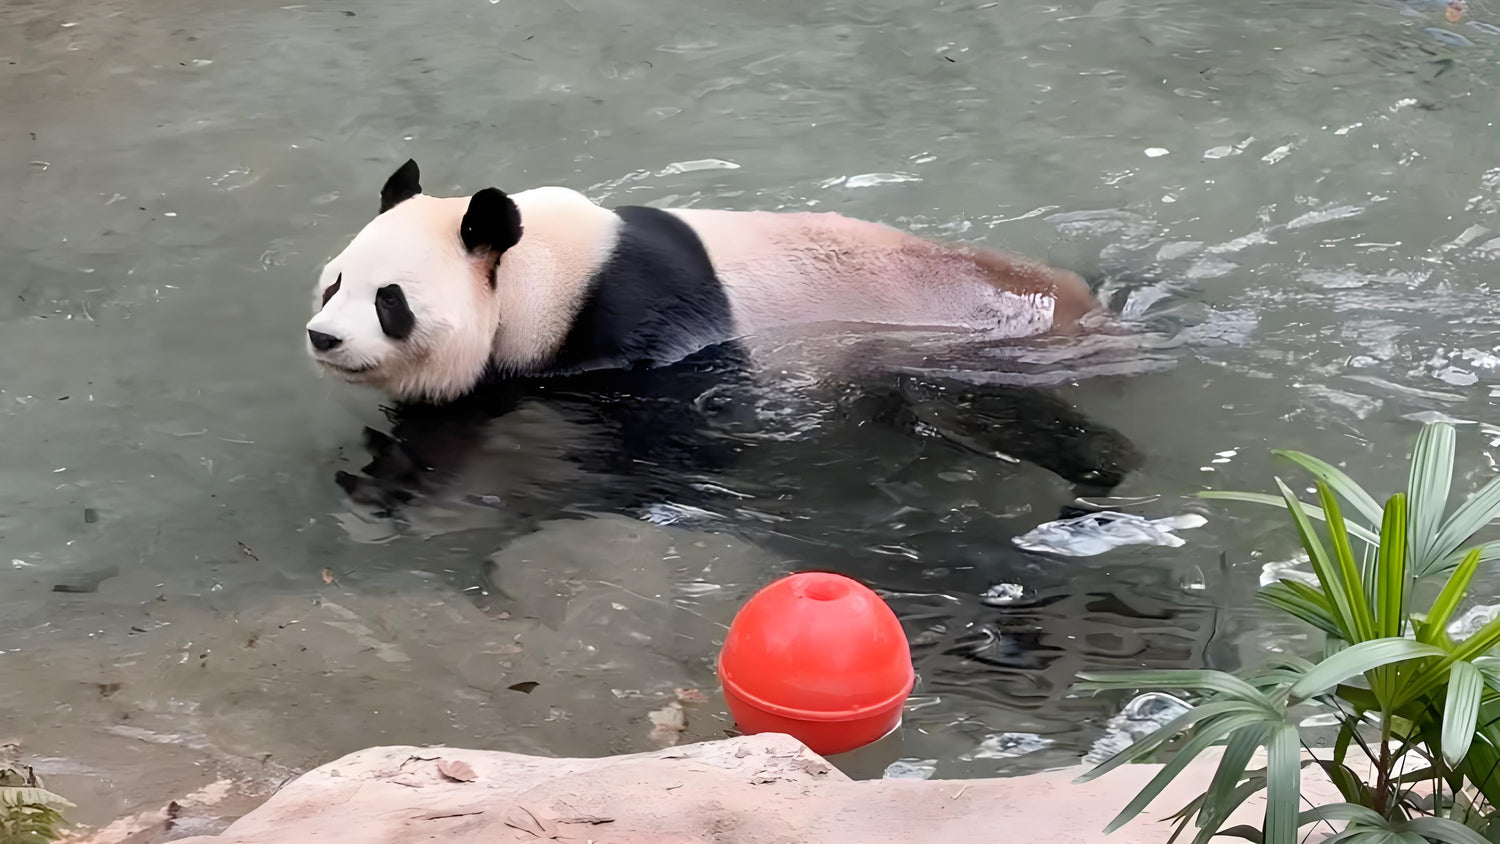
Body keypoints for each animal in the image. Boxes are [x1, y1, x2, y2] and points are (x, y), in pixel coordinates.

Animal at [309, 160, 1140, 525]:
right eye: (333, 284)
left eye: (389, 301)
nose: (324, 337)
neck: (542, 271)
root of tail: (1086, 308)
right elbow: (457, 413)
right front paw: (387, 470)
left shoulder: (645, 335)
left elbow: (677, 441)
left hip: (946, 344)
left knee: (993, 413)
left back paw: (1103, 468)